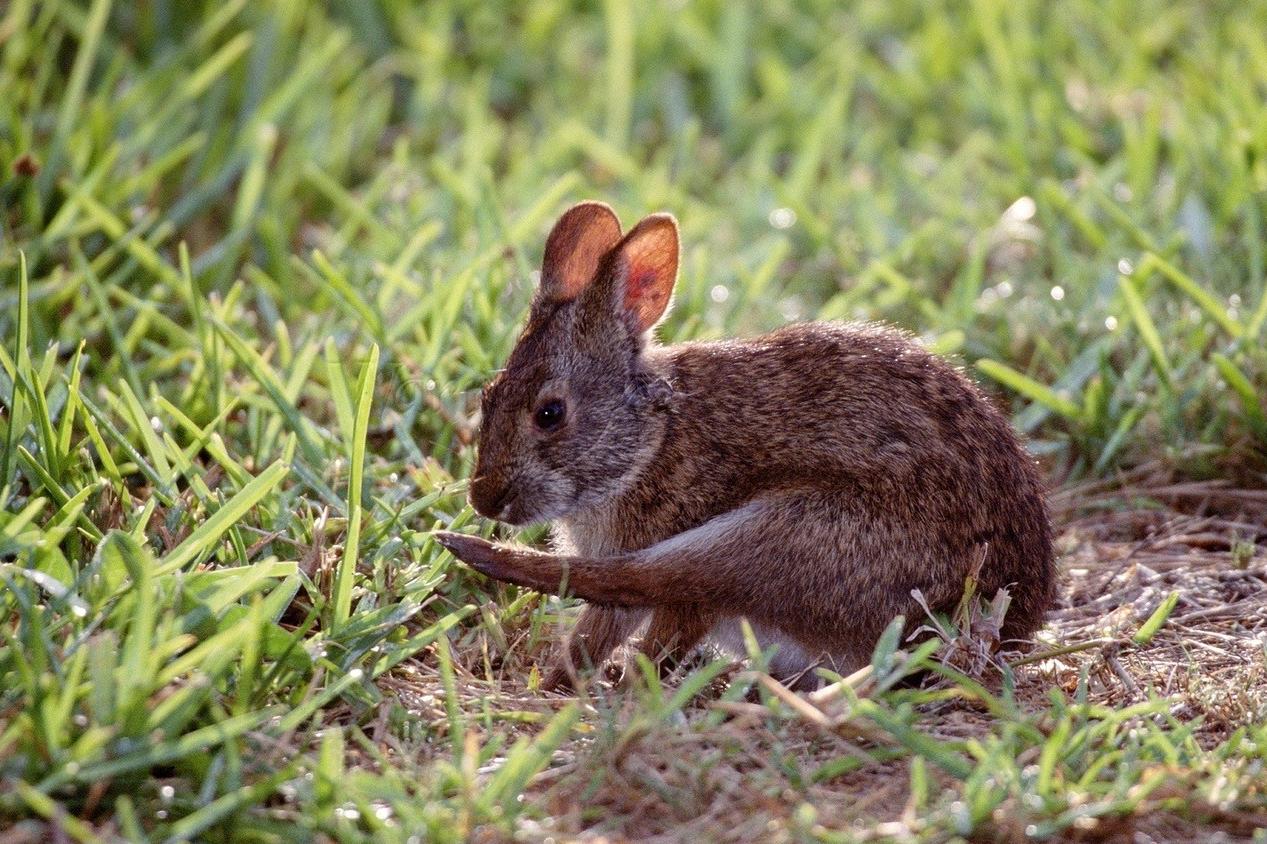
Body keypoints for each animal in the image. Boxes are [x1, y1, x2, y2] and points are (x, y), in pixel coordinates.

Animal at [435, 201, 1056, 692]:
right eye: (488, 396)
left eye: (550, 414)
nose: (484, 499)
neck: (651, 440)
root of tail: (1008, 634)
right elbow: (596, 632)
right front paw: (560, 684)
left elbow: (659, 628)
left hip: (789, 534)